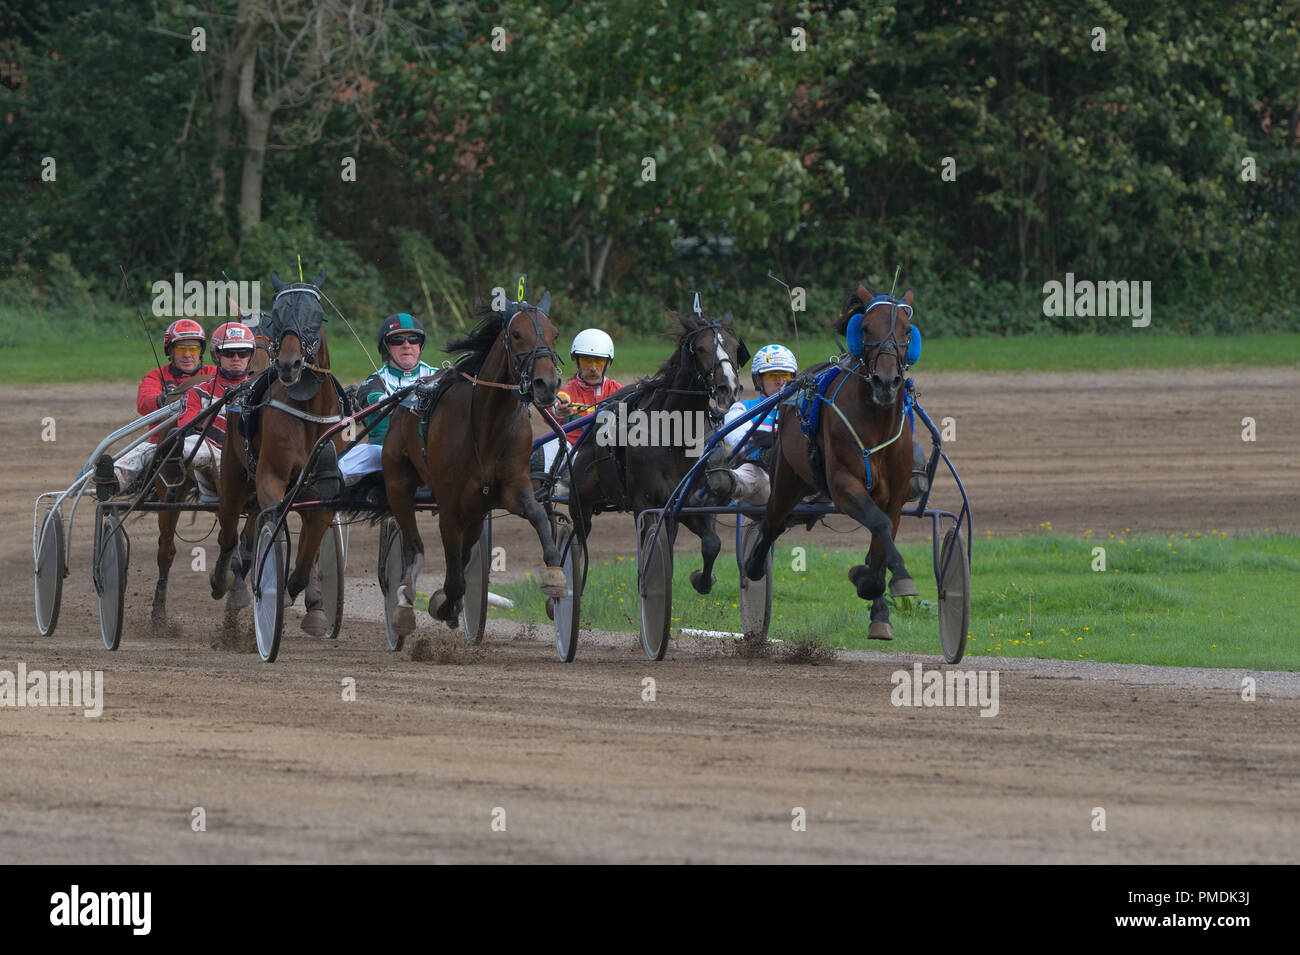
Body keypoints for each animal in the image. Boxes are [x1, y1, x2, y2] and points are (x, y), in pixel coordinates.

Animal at [209, 269, 344, 637]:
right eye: (281, 314)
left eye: (316, 315)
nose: (288, 364)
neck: (308, 411)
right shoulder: (270, 478)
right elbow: (270, 528)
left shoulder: (321, 491)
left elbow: (309, 552)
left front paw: (300, 595)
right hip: (234, 476)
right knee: (228, 534)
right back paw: (223, 579)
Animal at [382, 291, 567, 634]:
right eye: (516, 334)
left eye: (555, 333)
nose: (546, 385)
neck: (486, 426)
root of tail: (407, 394)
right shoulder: (449, 505)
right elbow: (454, 575)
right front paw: (444, 603)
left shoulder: (511, 488)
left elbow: (538, 517)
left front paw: (555, 578)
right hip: (398, 483)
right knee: (413, 544)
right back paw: (403, 604)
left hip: (476, 510)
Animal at [567, 308, 746, 595]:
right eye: (701, 348)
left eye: (733, 346)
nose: (727, 388)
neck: (677, 436)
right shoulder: (646, 504)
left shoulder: (691, 504)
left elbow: (712, 544)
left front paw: (702, 580)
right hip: (580, 501)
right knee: (576, 540)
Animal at [742, 283, 919, 640]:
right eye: (865, 328)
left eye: (908, 331)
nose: (886, 382)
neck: (876, 422)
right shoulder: (843, 485)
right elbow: (879, 524)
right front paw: (890, 581)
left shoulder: (896, 494)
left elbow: (881, 544)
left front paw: (873, 594)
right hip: (786, 478)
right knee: (771, 522)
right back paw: (752, 566)